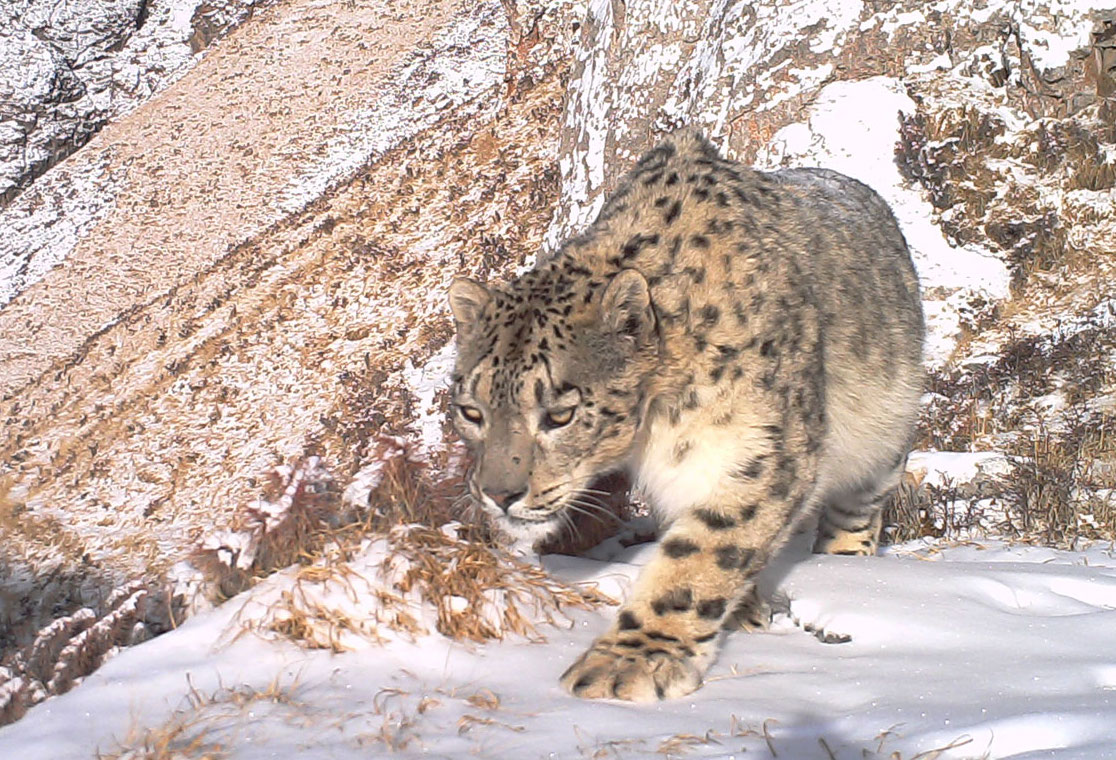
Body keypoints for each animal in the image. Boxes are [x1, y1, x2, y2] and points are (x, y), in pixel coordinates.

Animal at [447, 129, 924, 702]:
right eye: (471, 411)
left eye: (560, 415)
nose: (499, 495)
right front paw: (741, 611)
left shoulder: (763, 445)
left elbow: (705, 552)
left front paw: (629, 662)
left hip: (883, 436)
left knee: (857, 509)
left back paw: (845, 572)